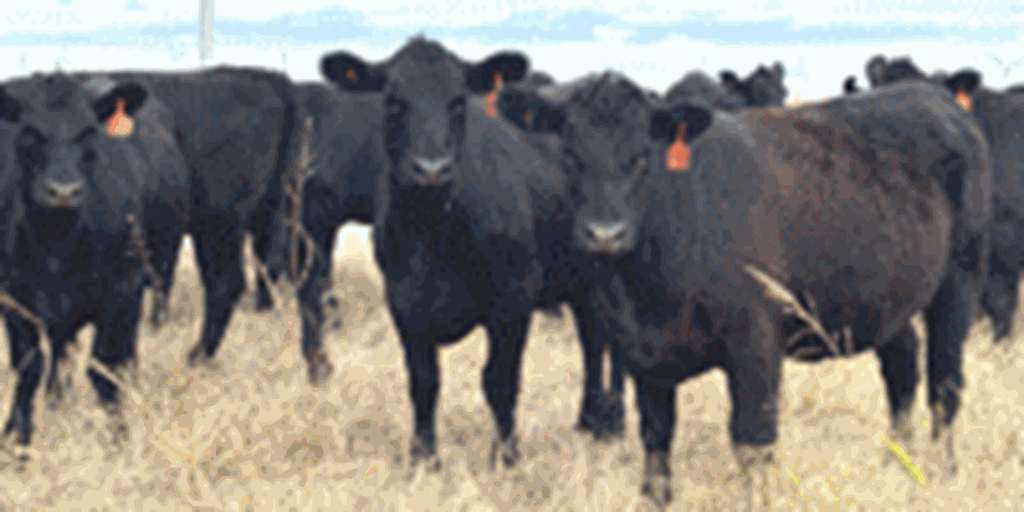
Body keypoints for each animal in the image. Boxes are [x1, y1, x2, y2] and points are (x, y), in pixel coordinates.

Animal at [0, 72, 190, 462]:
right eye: (29, 132)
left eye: (88, 133)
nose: (63, 191)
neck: (57, 242)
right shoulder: (14, 299)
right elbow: (28, 370)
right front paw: (18, 446)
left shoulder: (120, 293)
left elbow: (103, 368)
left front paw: (119, 444)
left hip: (155, 273)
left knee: (124, 354)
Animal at [311, 36, 575, 473]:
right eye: (394, 102)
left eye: (458, 102)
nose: (431, 169)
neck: (433, 233)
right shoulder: (403, 302)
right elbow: (424, 381)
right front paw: (423, 458)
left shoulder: (513, 301)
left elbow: (500, 381)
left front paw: (506, 459)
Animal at [497, 75, 993, 509]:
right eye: (570, 155)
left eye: (641, 157)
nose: (604, 234)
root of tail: (932, 94)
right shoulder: (645, 356)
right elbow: (656, 439)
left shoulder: (755, 343)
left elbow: (753, 442)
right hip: (884, 298)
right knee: (902, 366)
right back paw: (897, 464)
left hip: (959, 281)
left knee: (945, 383)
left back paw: (943, 470)